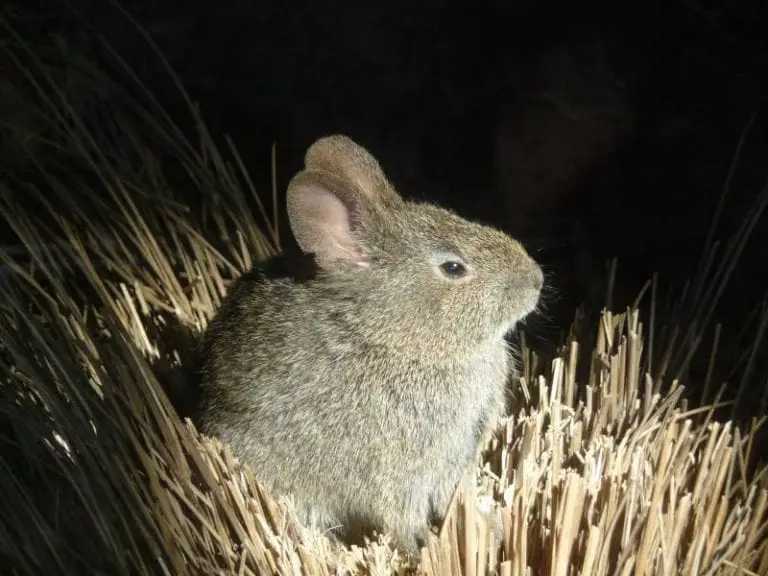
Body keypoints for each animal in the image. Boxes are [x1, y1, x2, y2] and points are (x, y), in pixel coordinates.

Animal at [194, 134, 543, 555]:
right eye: (453, 268)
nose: (537, 280)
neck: (395, 340)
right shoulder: (396, 474)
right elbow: (402, 518)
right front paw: (421, 551)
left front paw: (486, 529)